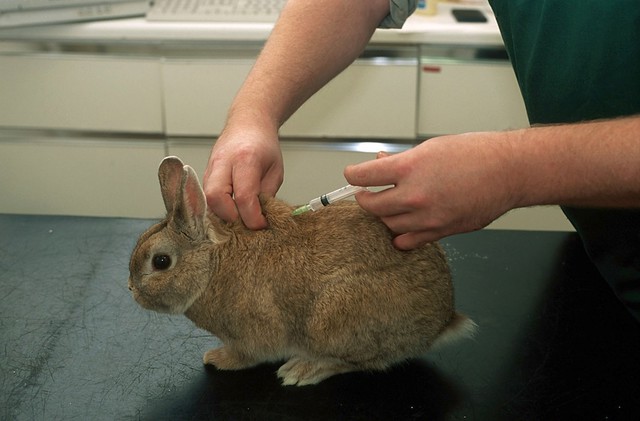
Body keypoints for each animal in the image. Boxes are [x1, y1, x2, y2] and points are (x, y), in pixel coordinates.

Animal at [128, 156, 476, 386]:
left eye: (160, 262)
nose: (131, 290)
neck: (214, 264)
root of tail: (443, 319)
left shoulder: (251, 336)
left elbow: (246, 356)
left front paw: (215, 358)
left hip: (332, 317)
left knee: (359, 361)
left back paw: (301, 371)